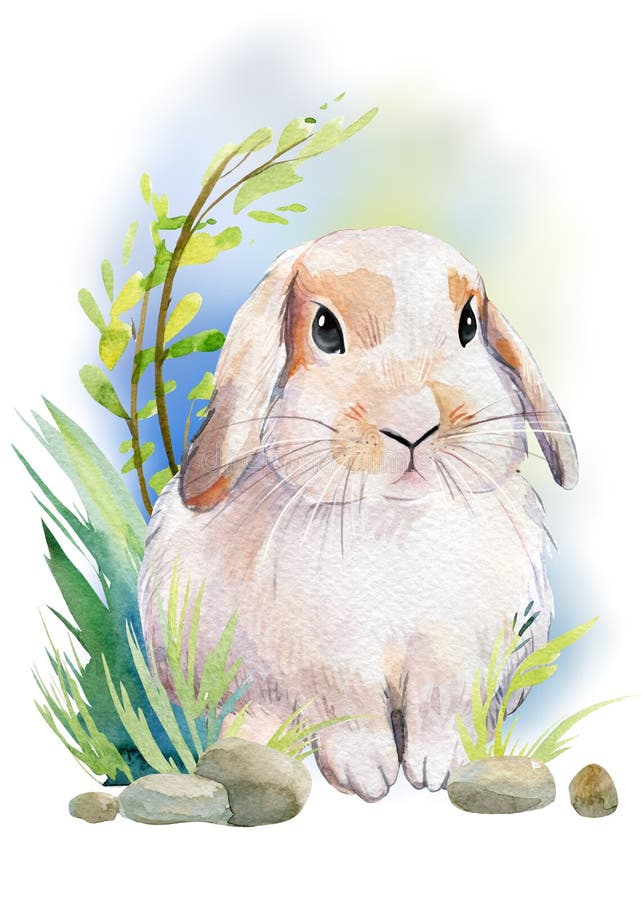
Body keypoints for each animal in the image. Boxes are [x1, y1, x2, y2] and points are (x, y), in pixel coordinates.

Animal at [138, 226, 578, 802]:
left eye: (468, 324)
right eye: (324, 330)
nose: (413, 427)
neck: (393, 519)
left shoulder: (454, 660)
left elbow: (440, 711)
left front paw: (437, 773)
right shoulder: (331, 667)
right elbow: (352, 716)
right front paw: (368, 779)